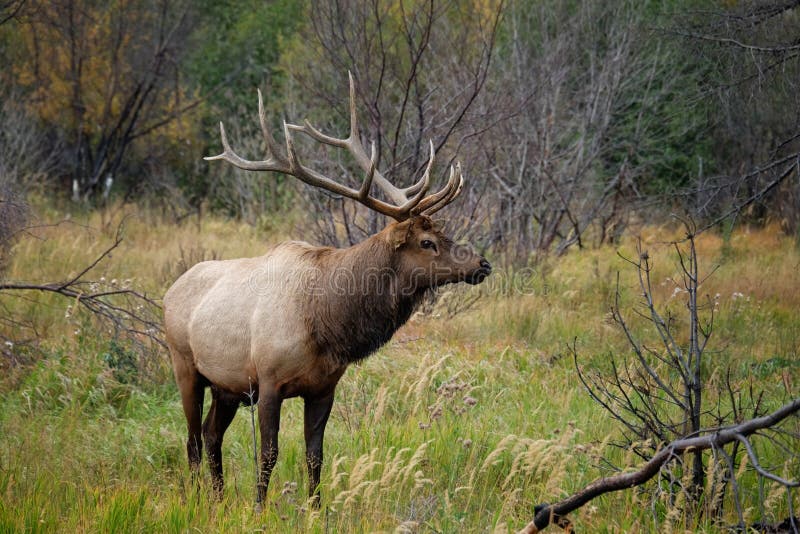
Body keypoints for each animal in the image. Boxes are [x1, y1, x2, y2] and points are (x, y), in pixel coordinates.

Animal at [163, 73, 491, 508]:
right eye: (427, 242)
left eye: (444, 232)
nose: (482, 264)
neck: (326, 322)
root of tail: (170, 290)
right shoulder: (268, 381)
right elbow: (268, 453)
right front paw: (259, 508)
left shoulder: (323, 387)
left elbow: (314, 455)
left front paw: (316, 509)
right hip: (185, 364)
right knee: (193, 439)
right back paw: (199, 497)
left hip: (226, 385)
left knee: (211, 433)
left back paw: (218, 497)